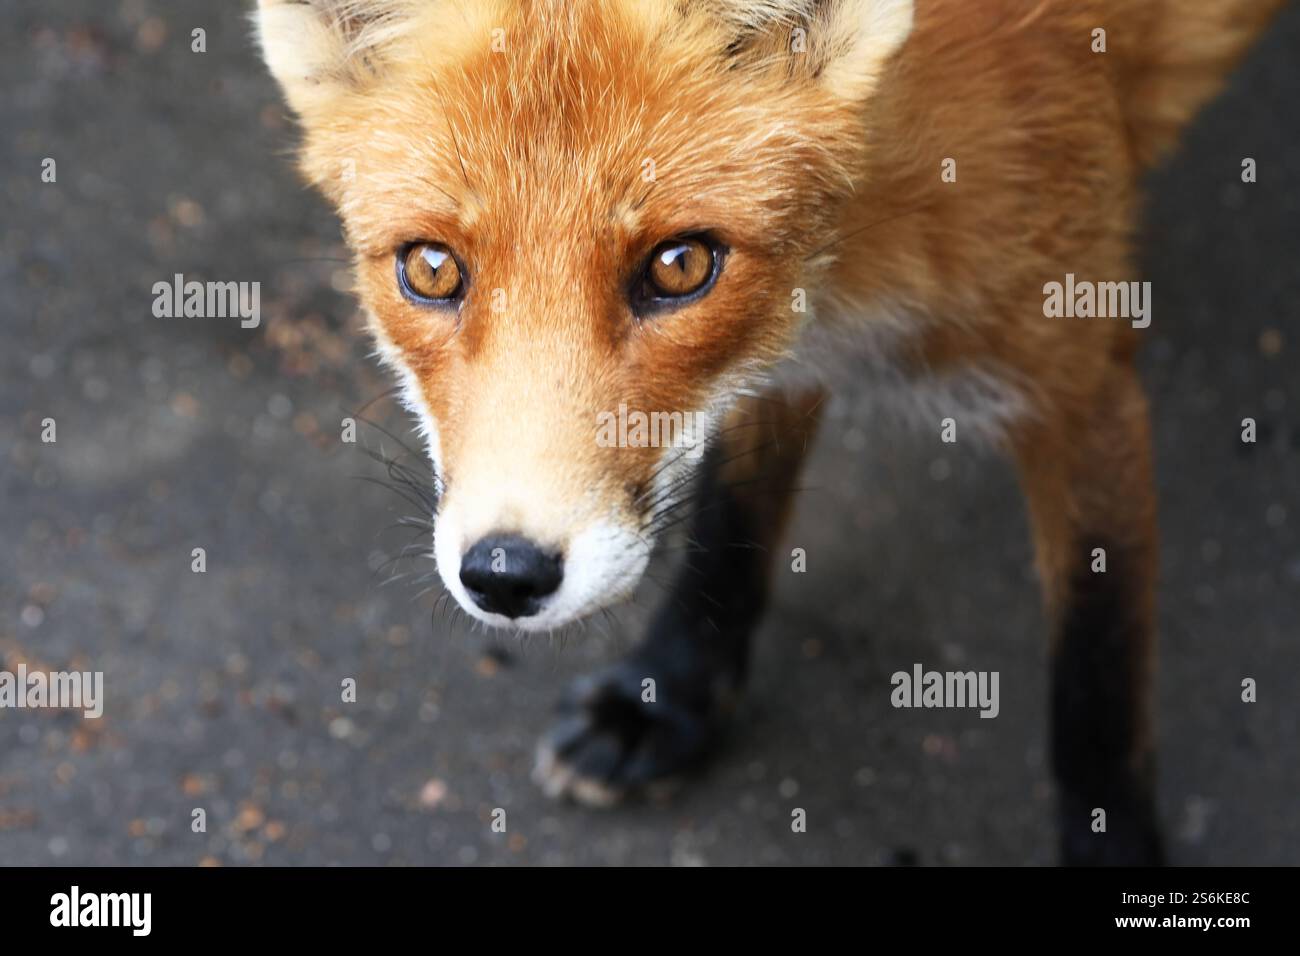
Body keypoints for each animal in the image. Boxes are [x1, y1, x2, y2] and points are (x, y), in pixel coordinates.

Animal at [254, 0, 1286, 864]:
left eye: (679, 265)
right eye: (431, 269)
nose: (507, 574)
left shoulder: (1083, 384)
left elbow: (1096, 675)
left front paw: (1113, 846)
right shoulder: (768, 361)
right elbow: (730, 523)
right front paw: (668, 697)